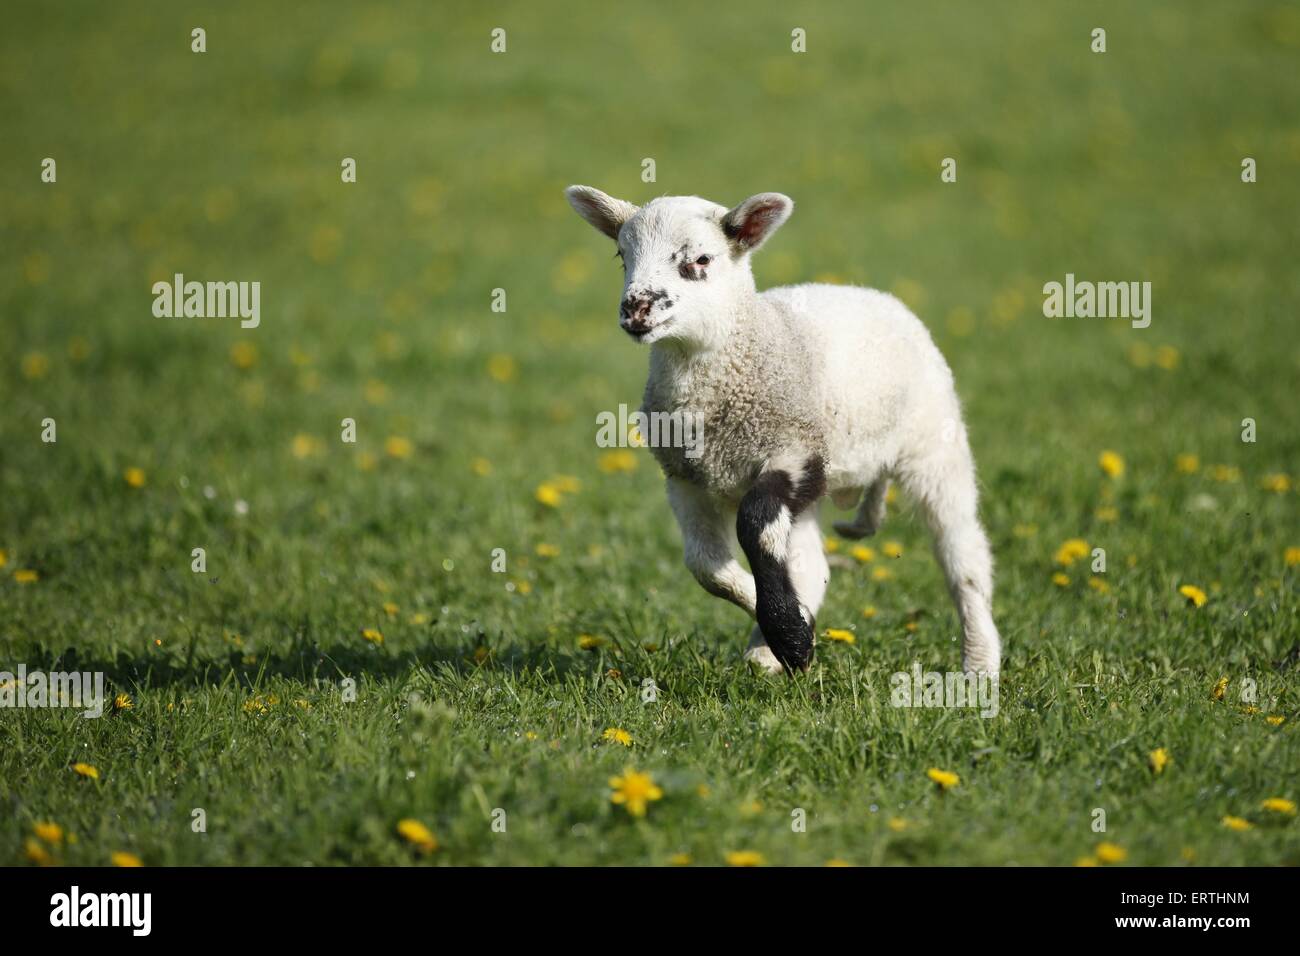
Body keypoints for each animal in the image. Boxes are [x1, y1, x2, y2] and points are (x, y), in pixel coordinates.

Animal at [565, 186, 1001, 678]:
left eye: (700, 260)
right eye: (623, 256)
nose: (635, 309)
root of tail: (870, 293)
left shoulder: (794, 452)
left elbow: (754, 526)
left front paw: (789, 634)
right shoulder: (684, 478)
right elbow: (706, 567)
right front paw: (789, 626)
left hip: (934, 444)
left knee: (963, 554)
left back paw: (980, 664)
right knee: (811, 564)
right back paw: (766, 649)